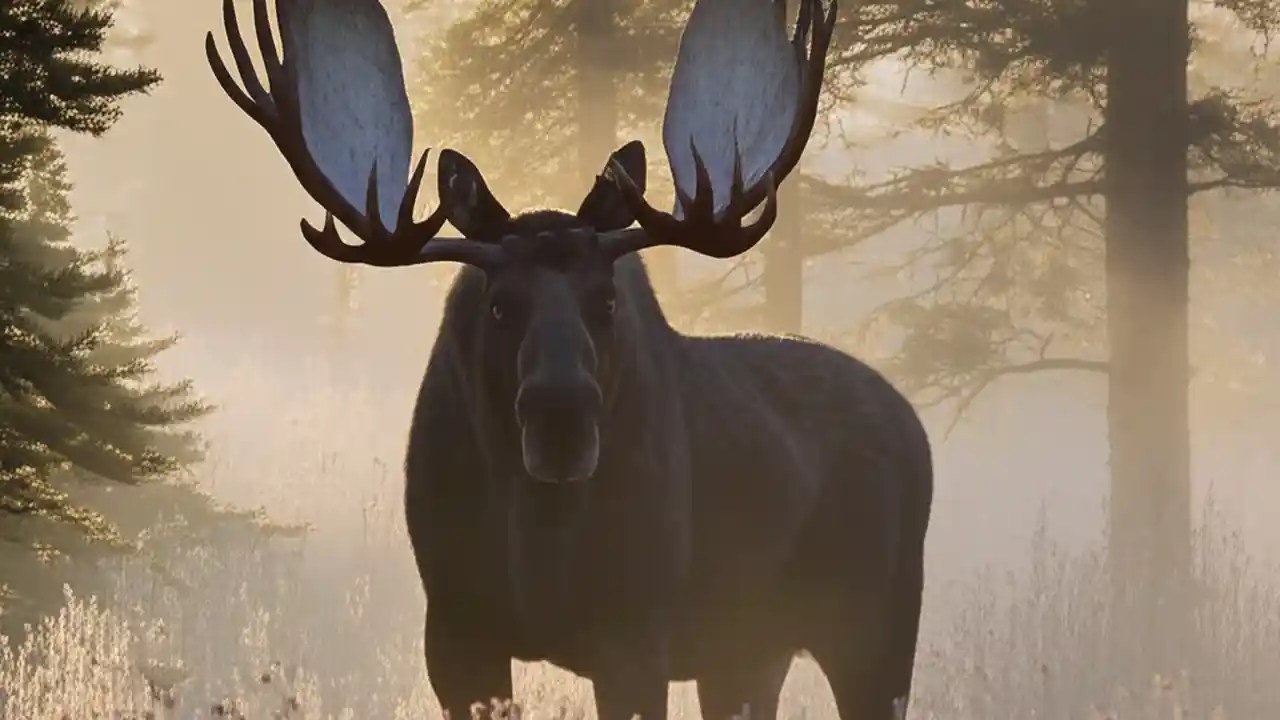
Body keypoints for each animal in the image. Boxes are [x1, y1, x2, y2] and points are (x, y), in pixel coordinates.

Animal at [206, 0, 933, 719]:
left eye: (606, 300)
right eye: (500, 305)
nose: (562, 422)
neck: (537, 540)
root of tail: (912, 425)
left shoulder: (635, 634)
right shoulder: (454, 630)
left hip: (877, 630)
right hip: (750, 650)